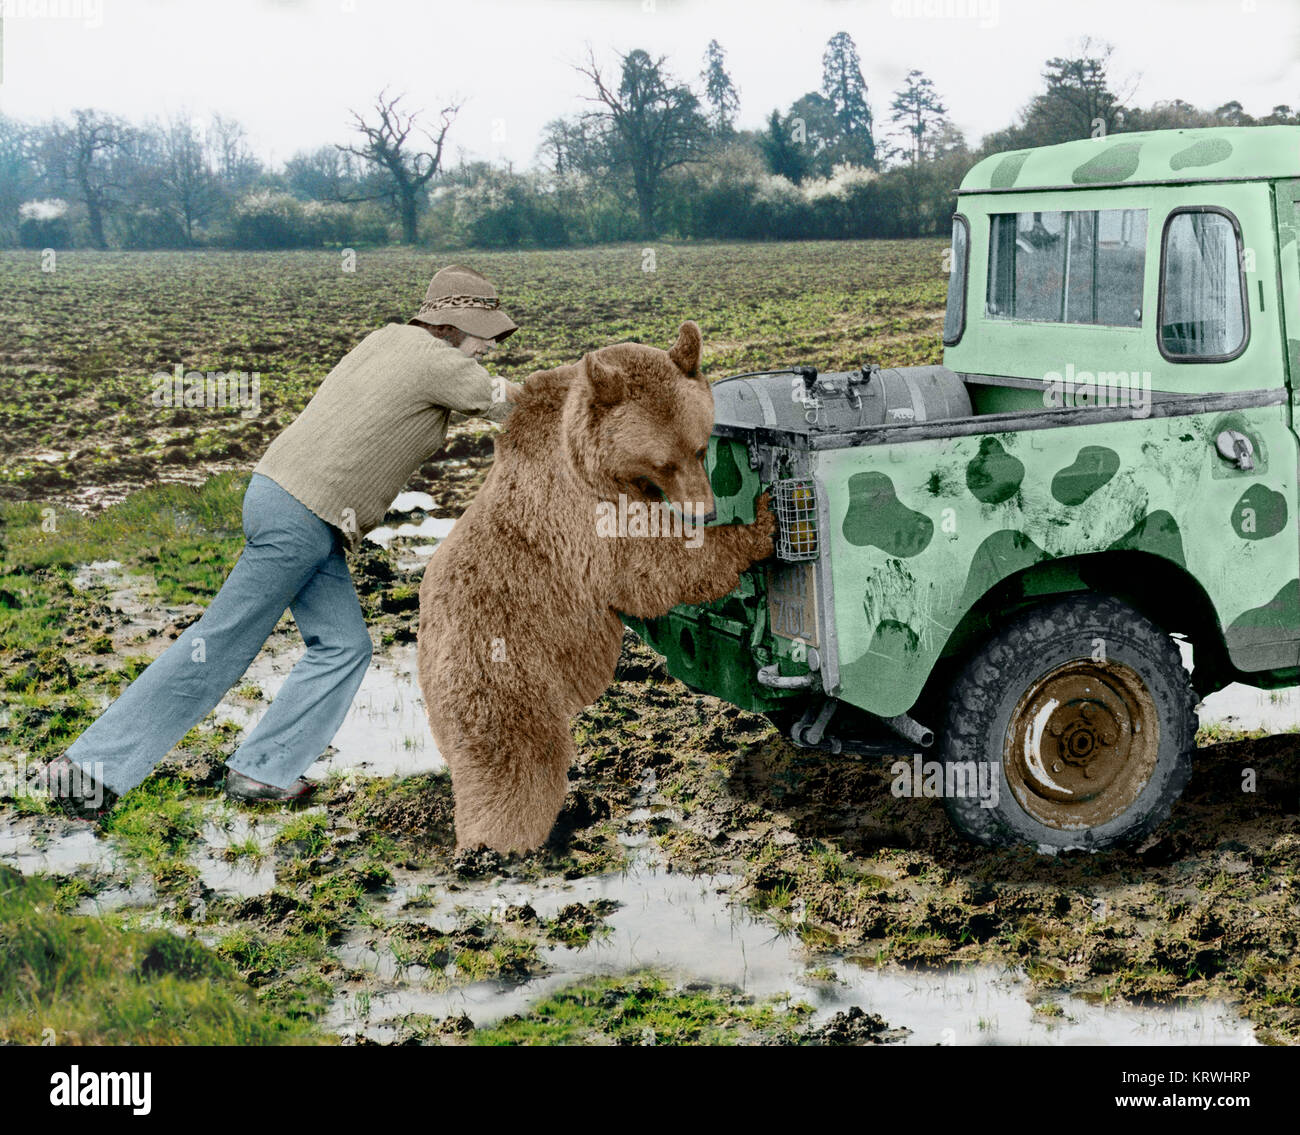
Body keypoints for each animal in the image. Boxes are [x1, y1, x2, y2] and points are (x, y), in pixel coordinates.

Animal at [416, 320, 775, 853]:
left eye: (698, 448)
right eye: (663, 461)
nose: (704, 510)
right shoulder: (584, 518)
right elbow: (654, 566)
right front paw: (759, 523)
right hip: (502, 669)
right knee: (518, 761)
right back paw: (498, 845)